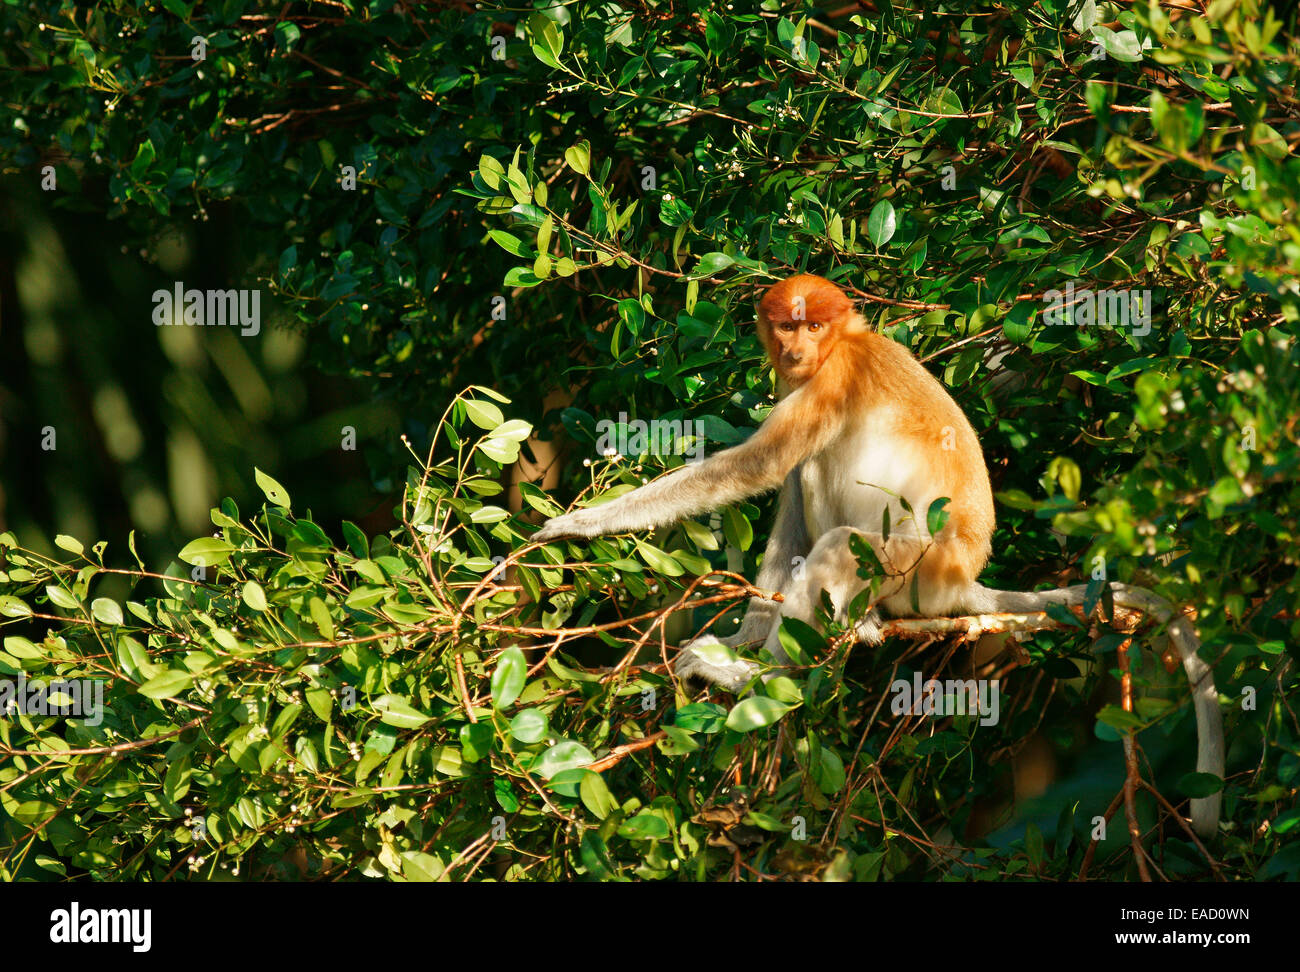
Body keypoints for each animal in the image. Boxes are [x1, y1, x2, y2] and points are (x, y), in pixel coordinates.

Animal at [533, 273, 1224, 838]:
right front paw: (747, 633)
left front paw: (577, 524)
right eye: (788, 325)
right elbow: (783, 482)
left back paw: (767, 679)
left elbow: (758, 465)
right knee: (806, 482)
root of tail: (967, 578)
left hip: (915, 568)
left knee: (837, 531)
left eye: (814, 325)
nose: (797, 350)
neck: (844, 344)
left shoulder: (831, 379)